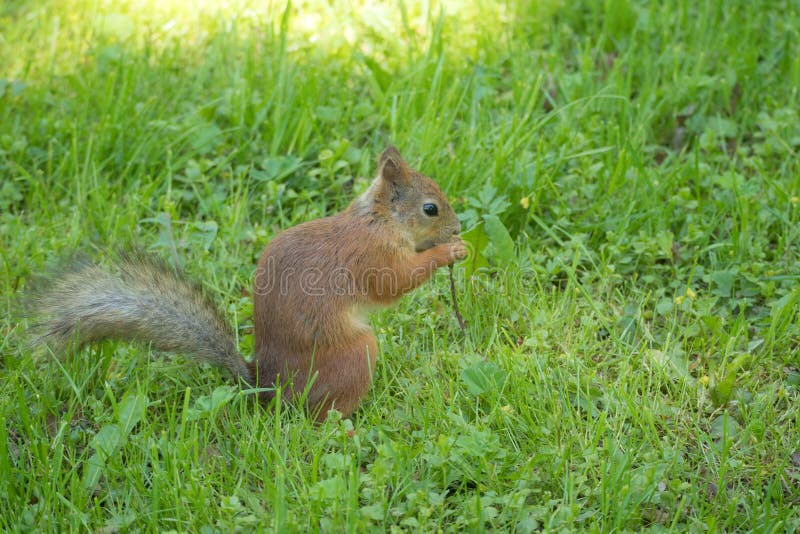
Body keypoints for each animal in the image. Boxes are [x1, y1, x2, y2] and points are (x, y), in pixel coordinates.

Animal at [31, 146, 466, 421]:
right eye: (430, 208)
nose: (458, 228)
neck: (380, 219)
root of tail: (266, 386)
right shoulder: (371, 257)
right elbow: (395, 283)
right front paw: (450, 252)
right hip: (354, 356)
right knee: (323, 419)